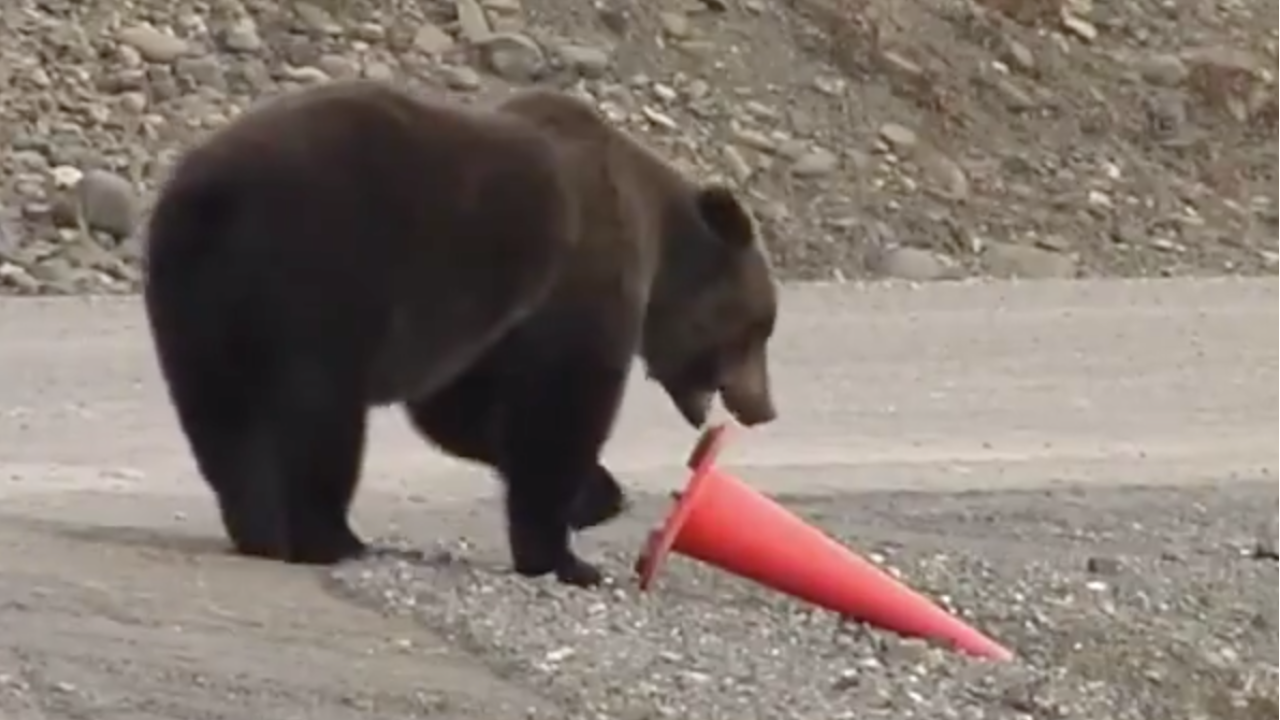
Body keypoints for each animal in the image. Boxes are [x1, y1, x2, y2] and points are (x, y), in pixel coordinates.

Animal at [141, 79, 779, 587]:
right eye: (760, 327)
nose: (764, 407)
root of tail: (211, 193)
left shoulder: (491, 325)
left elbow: (463, 413)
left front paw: (595, 496)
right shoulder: (579, 283)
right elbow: (559, 409)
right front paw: (566, 557)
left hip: (190, 300)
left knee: (221, 418)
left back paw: (260, 529)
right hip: (318, 274)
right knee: (320, 413)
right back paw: (331, 537)